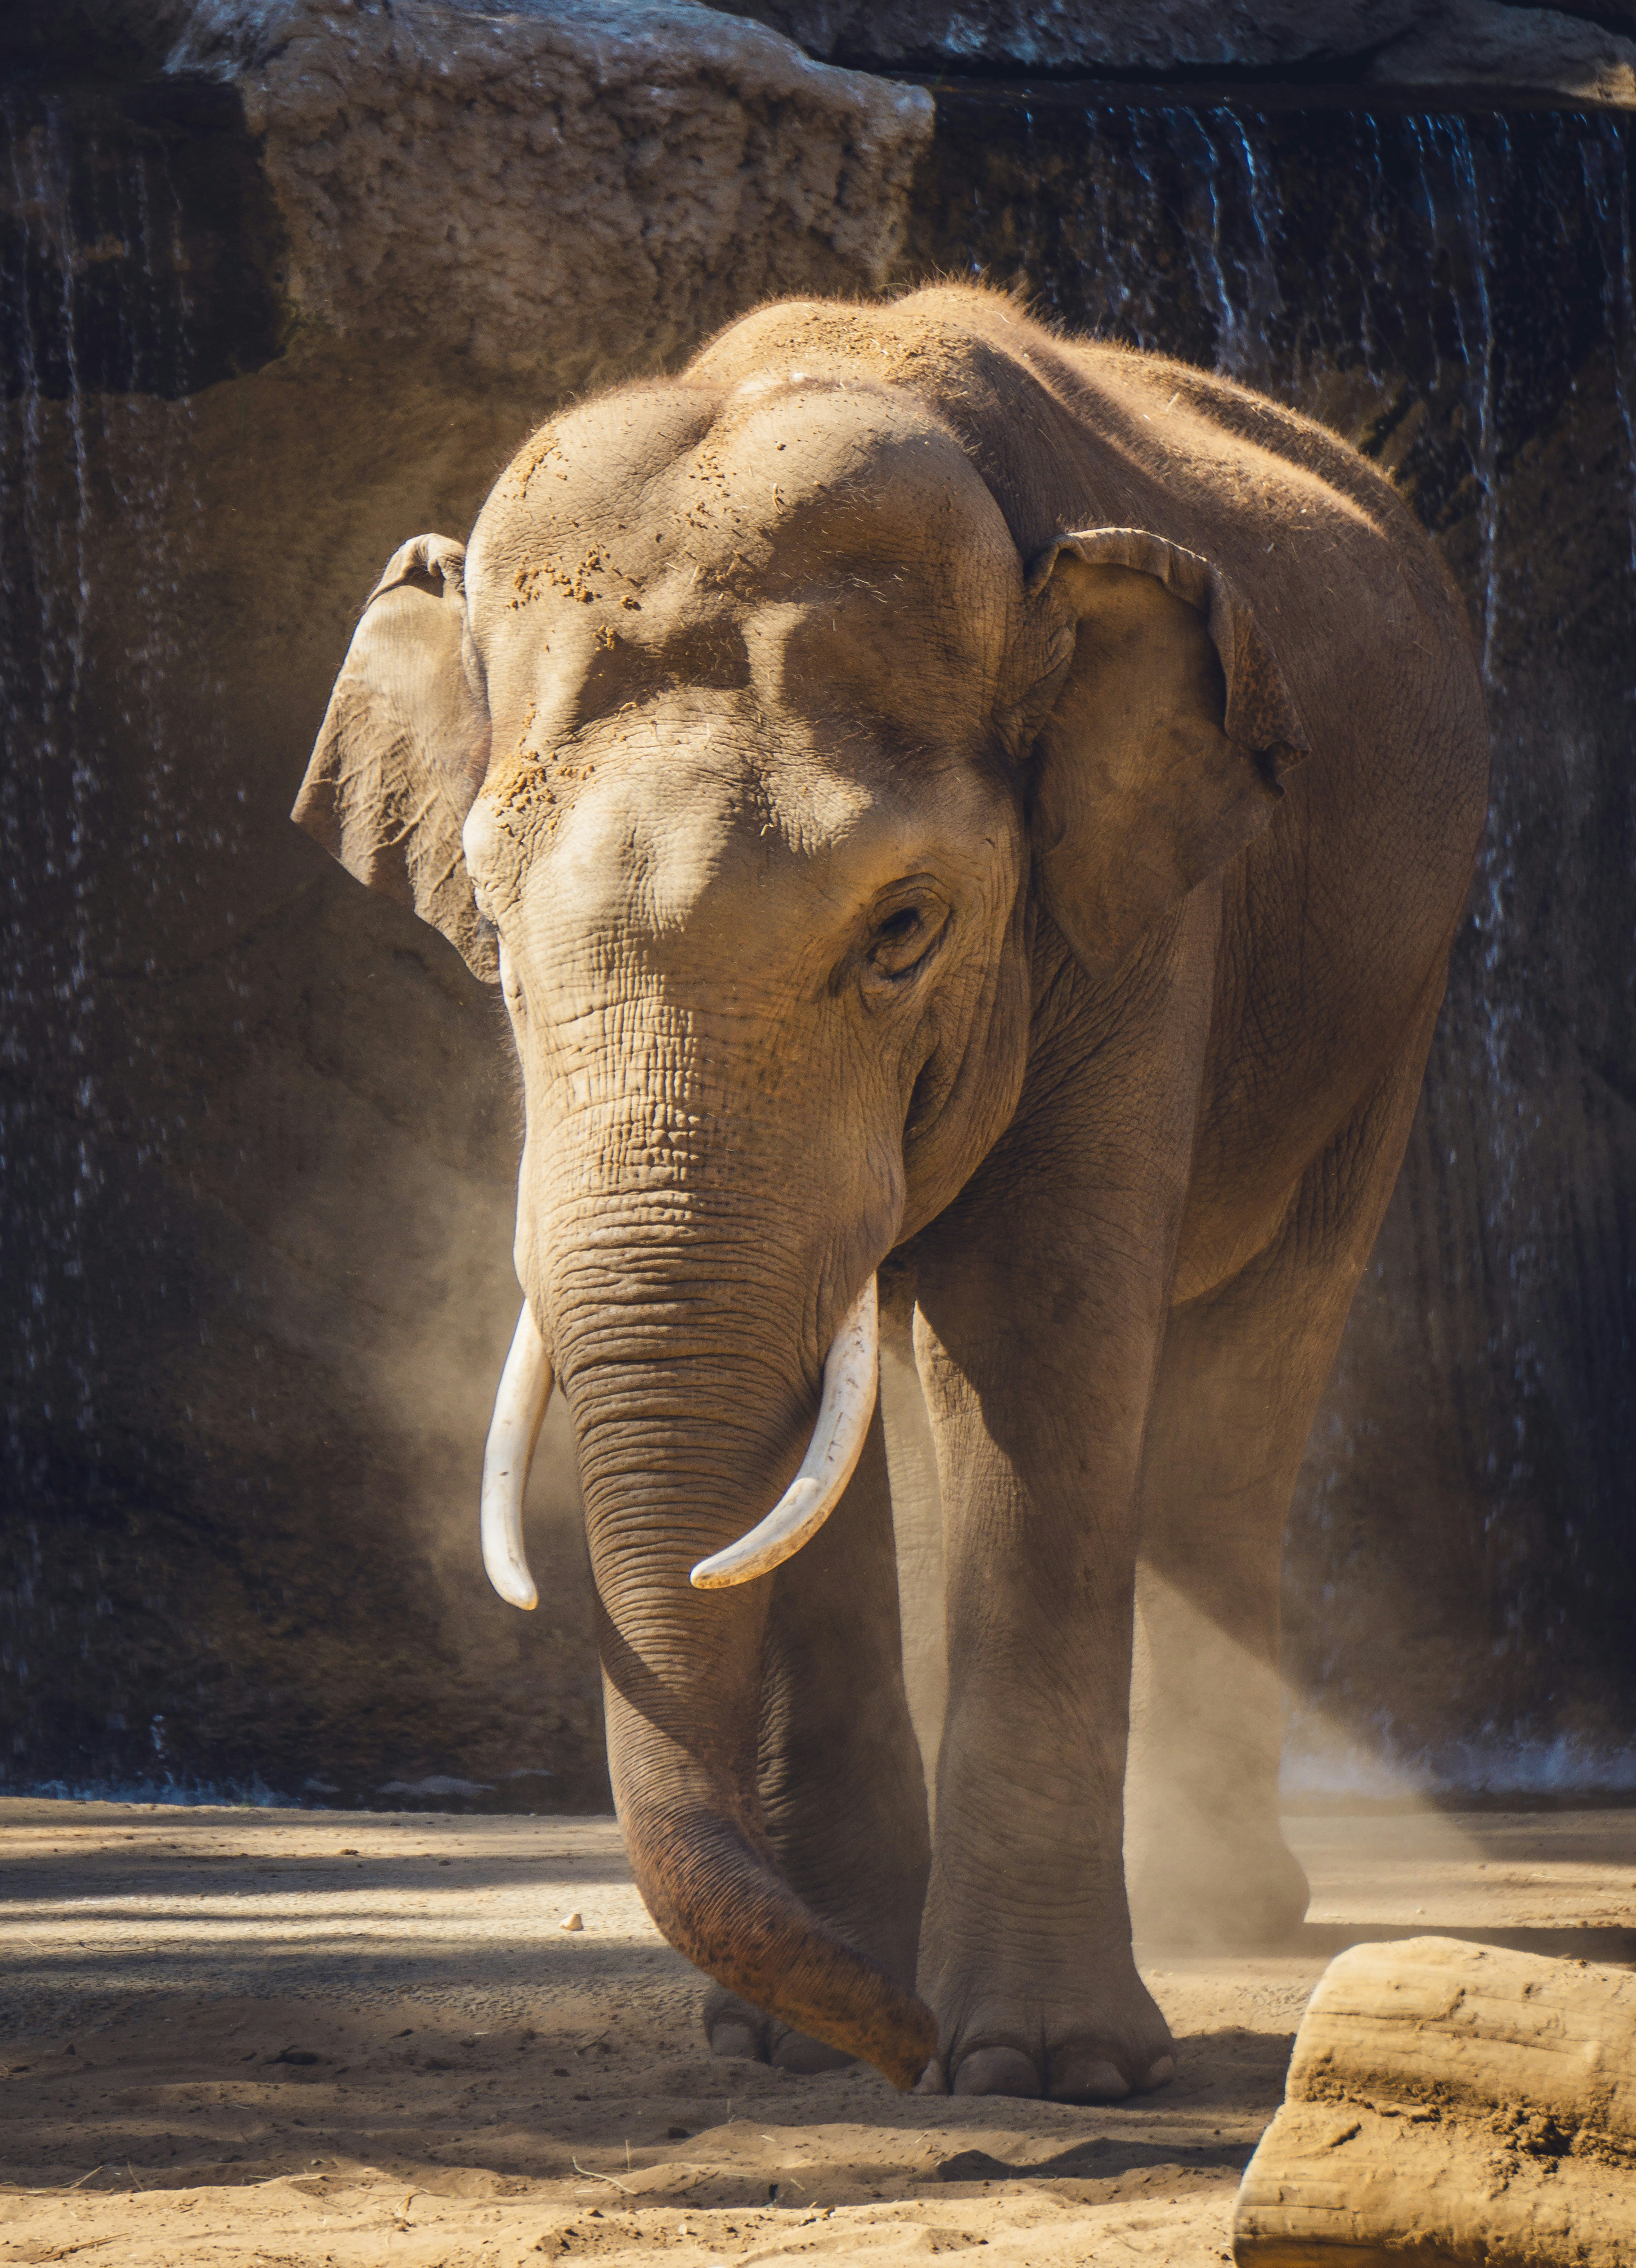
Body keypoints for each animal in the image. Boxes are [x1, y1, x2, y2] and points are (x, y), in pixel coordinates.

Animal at [291, 284, 1488, 2103]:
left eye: (904, 929)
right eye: (487, 928)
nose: (901, 2042)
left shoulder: (1134, 912)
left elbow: (1041, 1337)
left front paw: (1043, 2063)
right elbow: (815, 1444)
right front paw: (802, 2034)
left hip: (1384, 1006)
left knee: (1244, 1390)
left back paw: (1213, 1908)